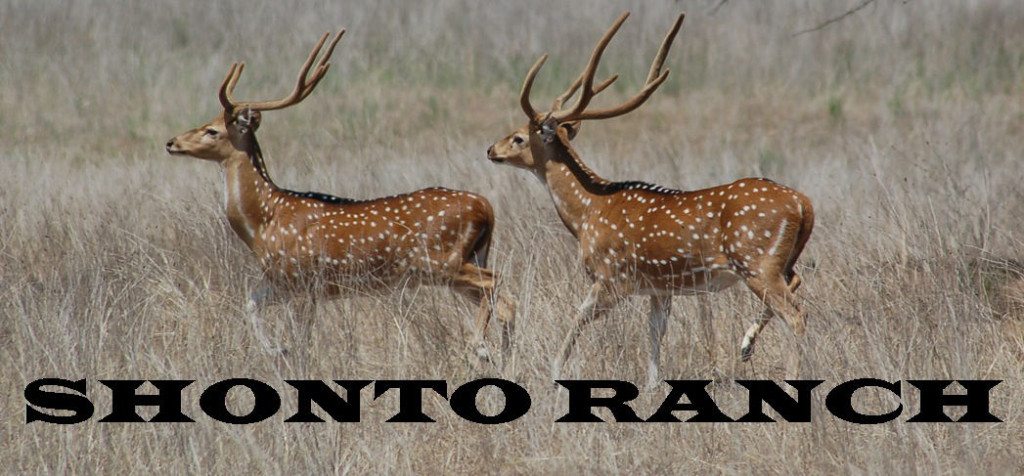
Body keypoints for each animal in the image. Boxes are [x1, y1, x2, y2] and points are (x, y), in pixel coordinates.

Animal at [165, 29, 513, 362]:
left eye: (212, 130)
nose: (172, 142)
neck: (263, 222)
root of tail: (485, 207)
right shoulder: (284, 281)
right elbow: (250, 303)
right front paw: (276, 350)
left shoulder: (304, 278)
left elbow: (301, 341)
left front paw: (287, 353)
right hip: (464, 259)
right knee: (502, 299)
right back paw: (500, 353)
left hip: (441, 259)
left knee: (495, 282)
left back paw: (480, 348)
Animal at [486, 12, 814, 385]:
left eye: (518, 138)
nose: (491, 149)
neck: (585, 216)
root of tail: (804, 204)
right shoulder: (659, 287)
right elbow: (655, 333)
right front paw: (653, 383)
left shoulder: (612, 276)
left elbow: (578, 319)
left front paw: (554, 371)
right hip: (780, 261)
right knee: (796, 285)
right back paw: (746, 345)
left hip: (756, 260)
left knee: (796, 314)